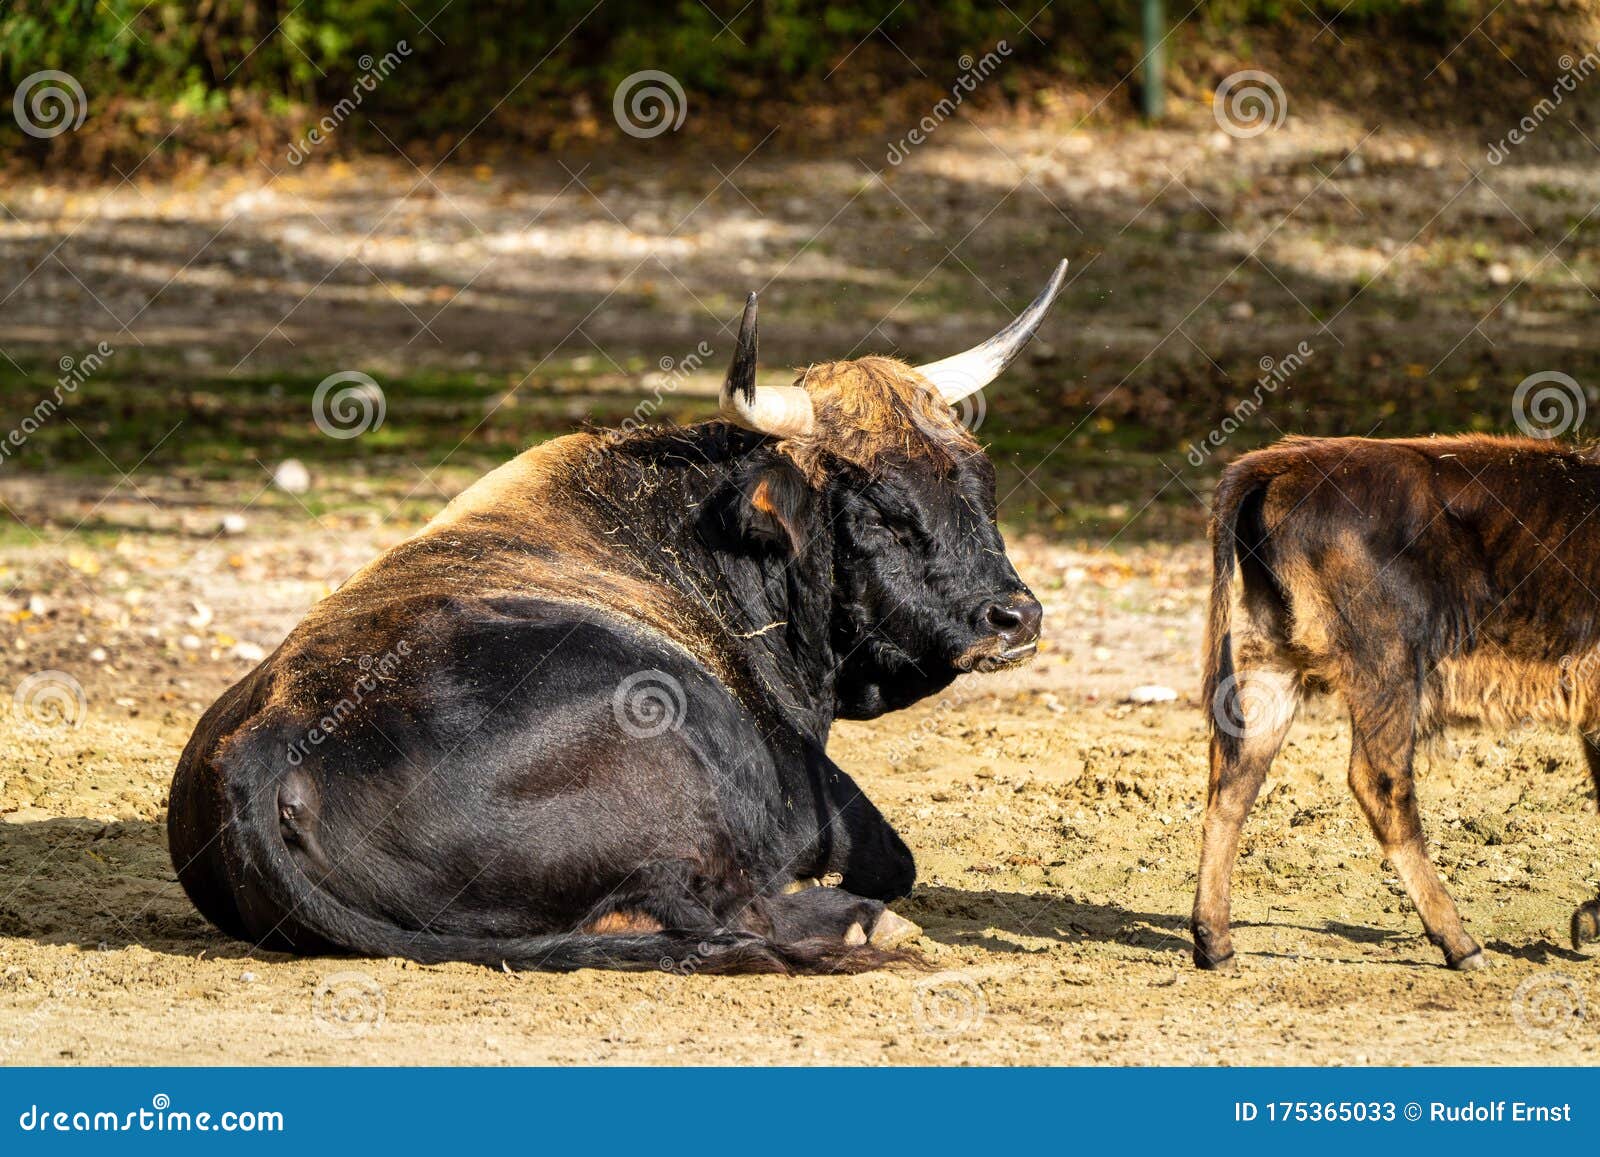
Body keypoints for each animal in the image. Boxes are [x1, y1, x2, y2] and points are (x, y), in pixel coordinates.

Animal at [168, 262, 1067, 975]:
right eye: (879, 512)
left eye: (979, 482)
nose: (1014, 615)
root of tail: (272, 735)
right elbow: (892, 856)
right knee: (721, 908)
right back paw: (858, 924)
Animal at [1195, 433, 1600, 971]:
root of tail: (1289, 460)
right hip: (1388, 667)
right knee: (1379, 781)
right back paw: (1462, 945)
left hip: (1274, 659)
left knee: (1235, 778)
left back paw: (1214, 944)